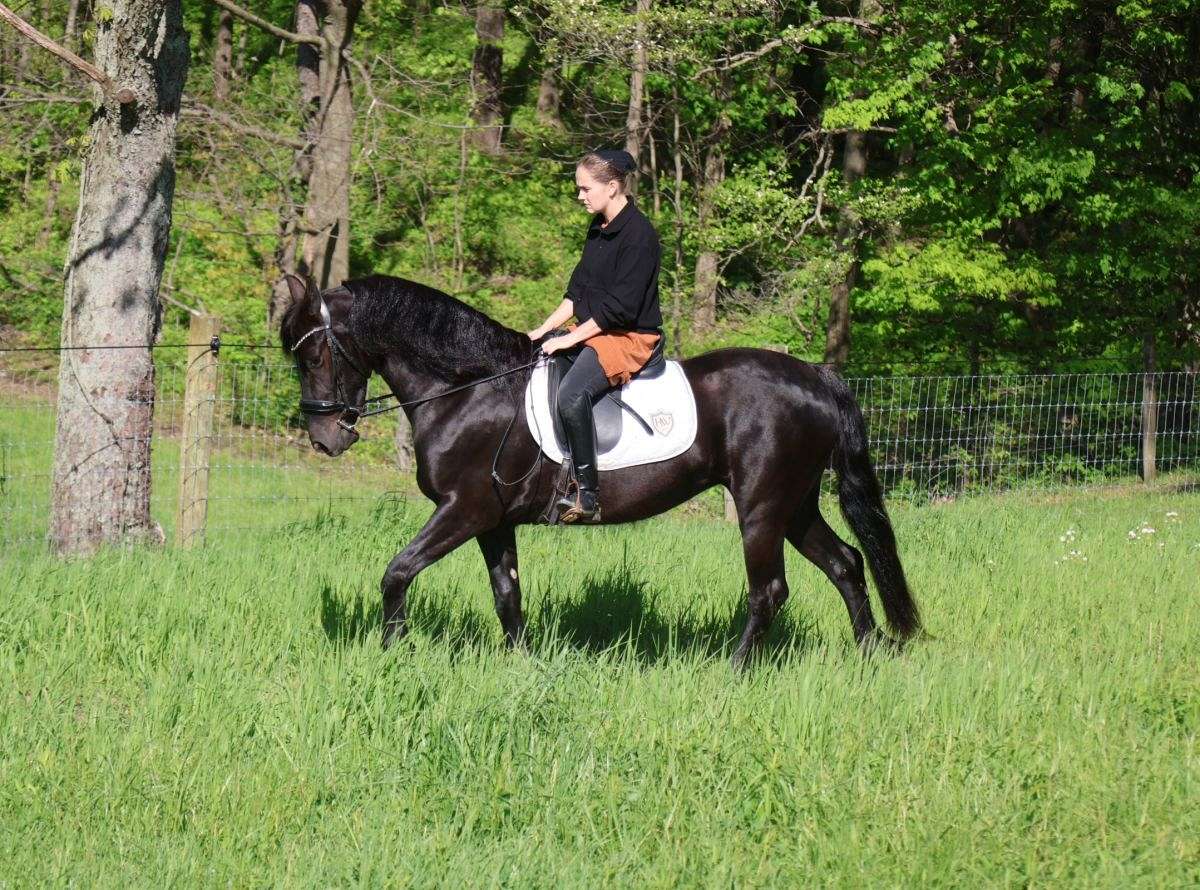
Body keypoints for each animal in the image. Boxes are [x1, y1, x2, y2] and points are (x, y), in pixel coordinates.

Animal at [277, 273, 921, 667]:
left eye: (316, 354)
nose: (324, 438)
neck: (466, 389)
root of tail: (816, 376)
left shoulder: (464, 511)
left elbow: (398, 572)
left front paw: (393, 652)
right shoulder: (493, 520)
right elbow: (507, 596)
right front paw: (522, 667)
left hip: (762, 506)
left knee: (770, 590)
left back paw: (733, 672)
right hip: (795, 504)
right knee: (847, 564)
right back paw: (869, 654)